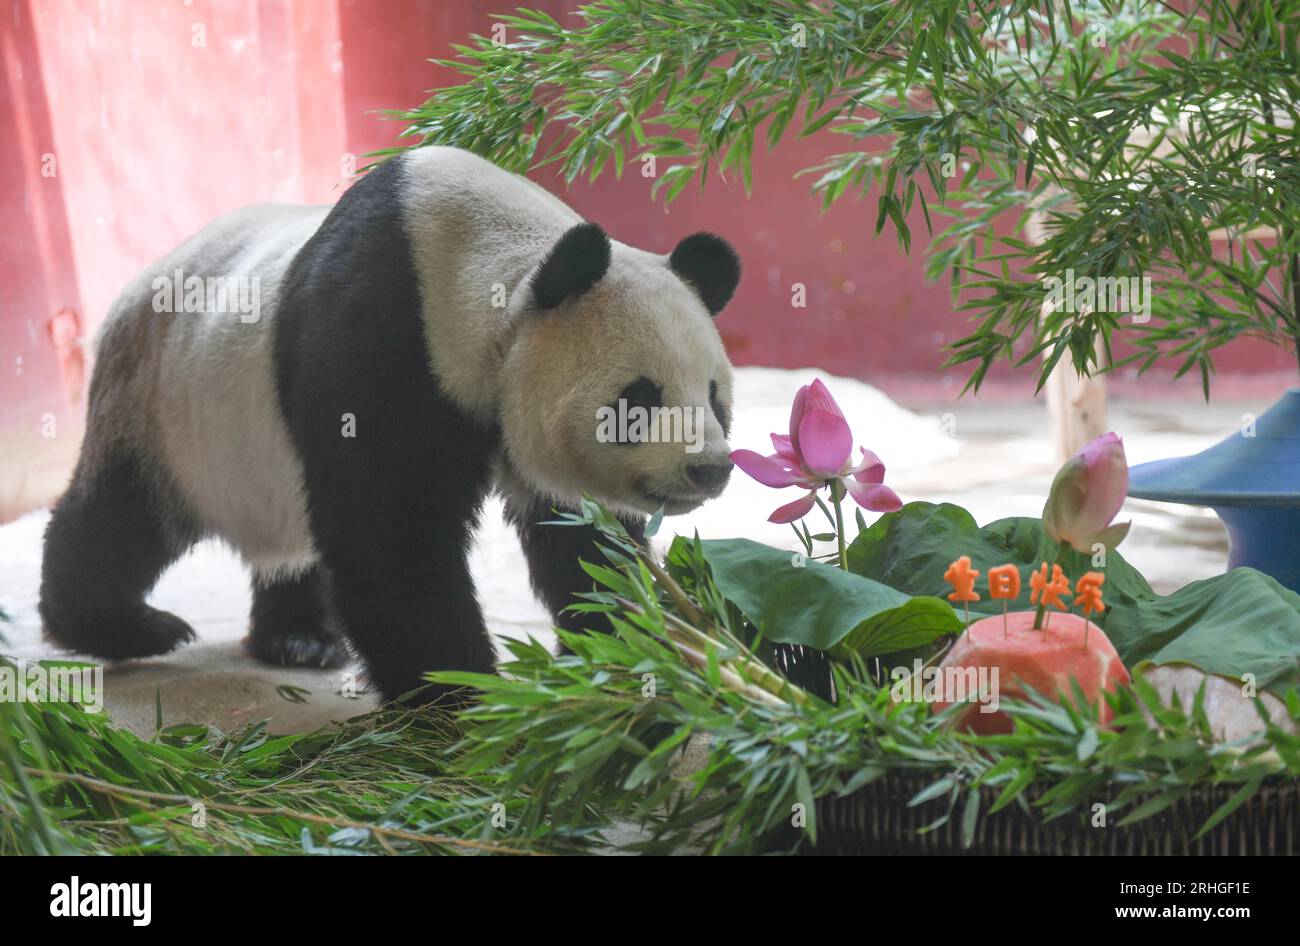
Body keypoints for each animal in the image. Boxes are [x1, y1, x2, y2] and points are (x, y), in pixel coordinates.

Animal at [39, 146, 741, 705]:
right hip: (162, 404)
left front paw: (623, 652)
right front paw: (458, 695)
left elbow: (583, 544)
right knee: (122, 516)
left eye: (713, 397)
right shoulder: (382, 342)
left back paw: (299, 639)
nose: (708, 469)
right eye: (638, 399)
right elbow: (390, 534)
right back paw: (125, 626)